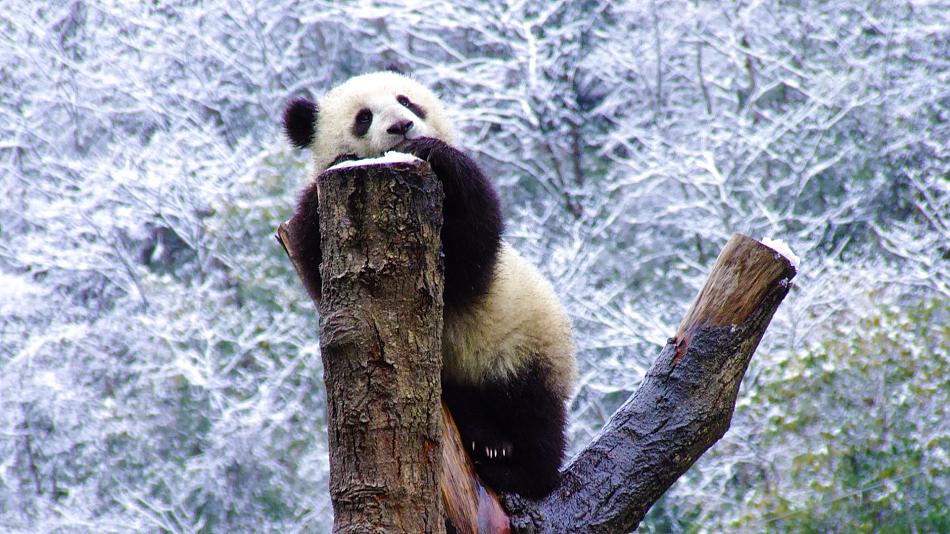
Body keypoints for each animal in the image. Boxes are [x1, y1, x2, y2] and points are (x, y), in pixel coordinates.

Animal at [283, 71, 576, 499]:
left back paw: (511, 464)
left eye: (406, 101)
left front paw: (431, 150)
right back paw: (488, 442)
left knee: (535, 413)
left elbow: (475, 242)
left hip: (529, 346)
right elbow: (314, 256)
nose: (402, 126)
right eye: (363, 117)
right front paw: (346, 160)